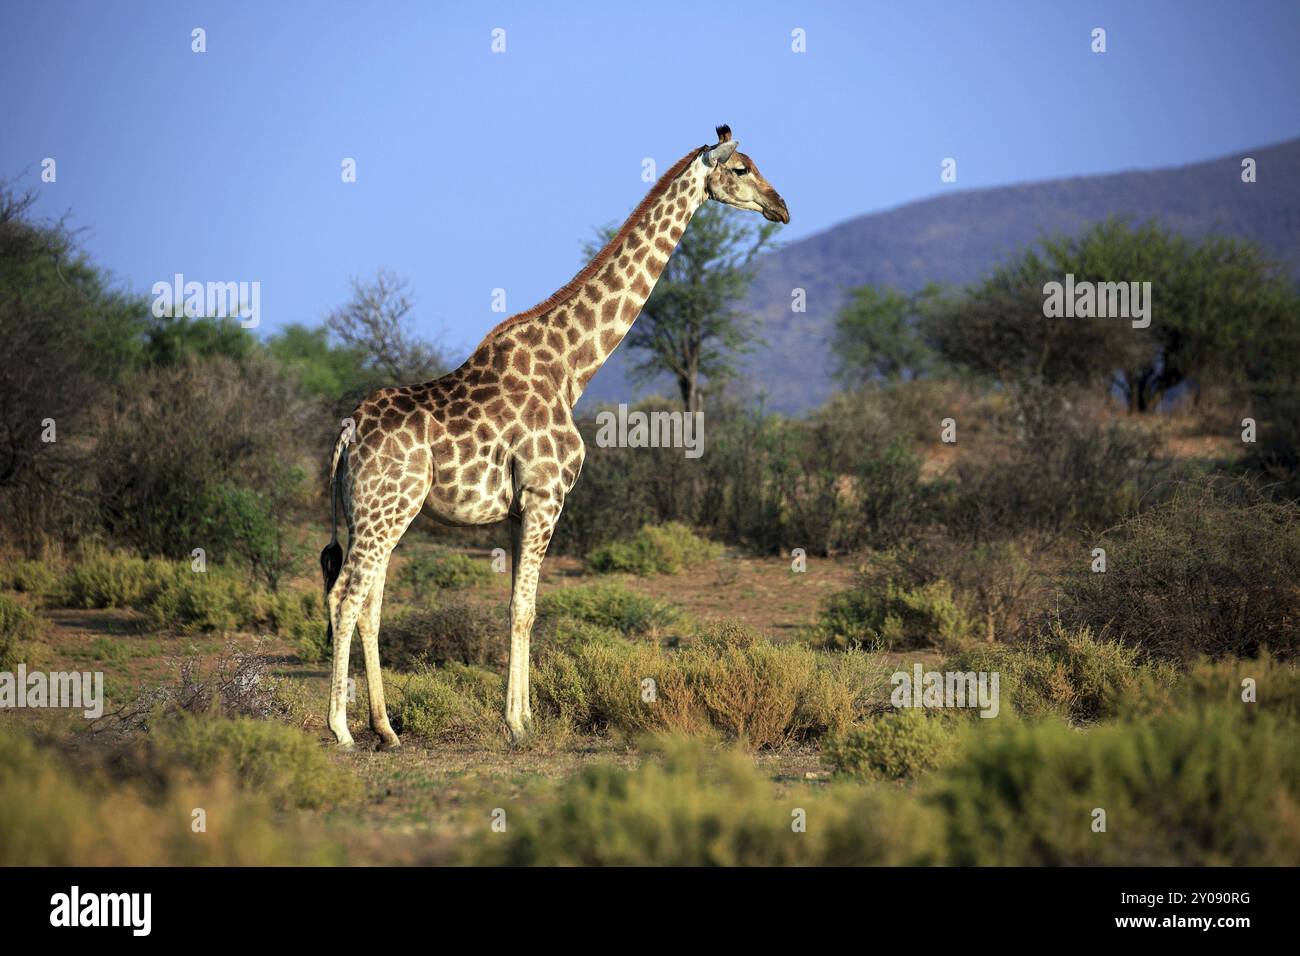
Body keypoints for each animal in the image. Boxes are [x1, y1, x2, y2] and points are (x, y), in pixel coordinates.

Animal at [319, 125, 789, 748]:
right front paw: (519, 724)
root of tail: (348, 437)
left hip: (376, 513)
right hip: (384, 509)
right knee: (345, 595)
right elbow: (524, 609)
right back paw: (342, 730)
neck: (572, 368)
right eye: (739, 169)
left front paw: (520, 717)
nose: (782, 207)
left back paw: (386, 728)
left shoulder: (522, 507)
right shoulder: (547, 495)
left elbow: (520, 606)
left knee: (369, 601)